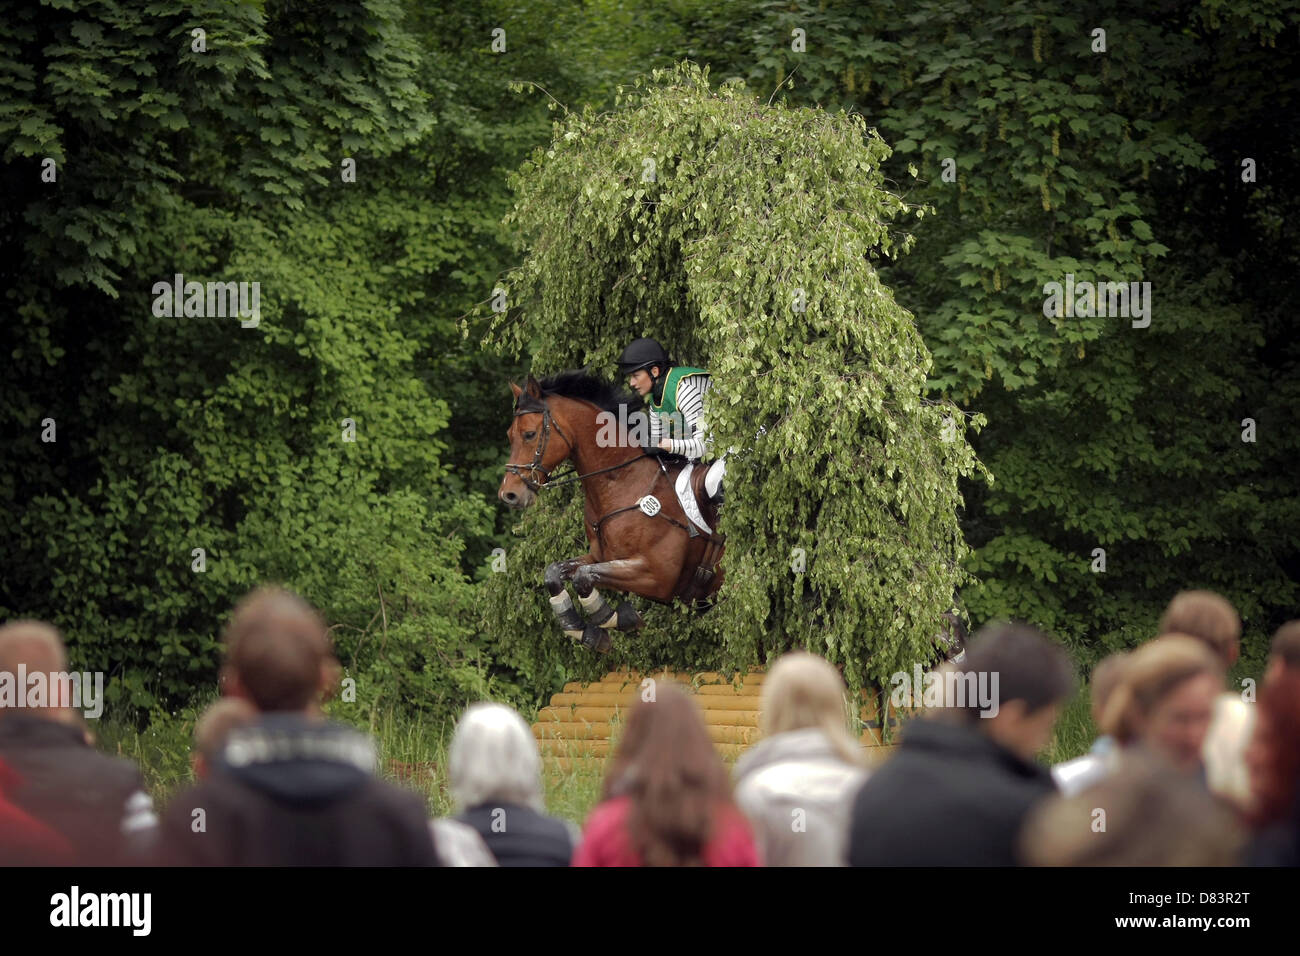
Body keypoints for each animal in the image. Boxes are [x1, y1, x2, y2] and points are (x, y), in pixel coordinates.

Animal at [497, 371, 726, 653]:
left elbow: (584, 576)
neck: (622, 483)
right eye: (509, 435)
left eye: (529, 434)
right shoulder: (600, 556)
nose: (509, 494)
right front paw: (585, 631)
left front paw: (617, 617)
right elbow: (555, 572)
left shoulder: (657, 576)